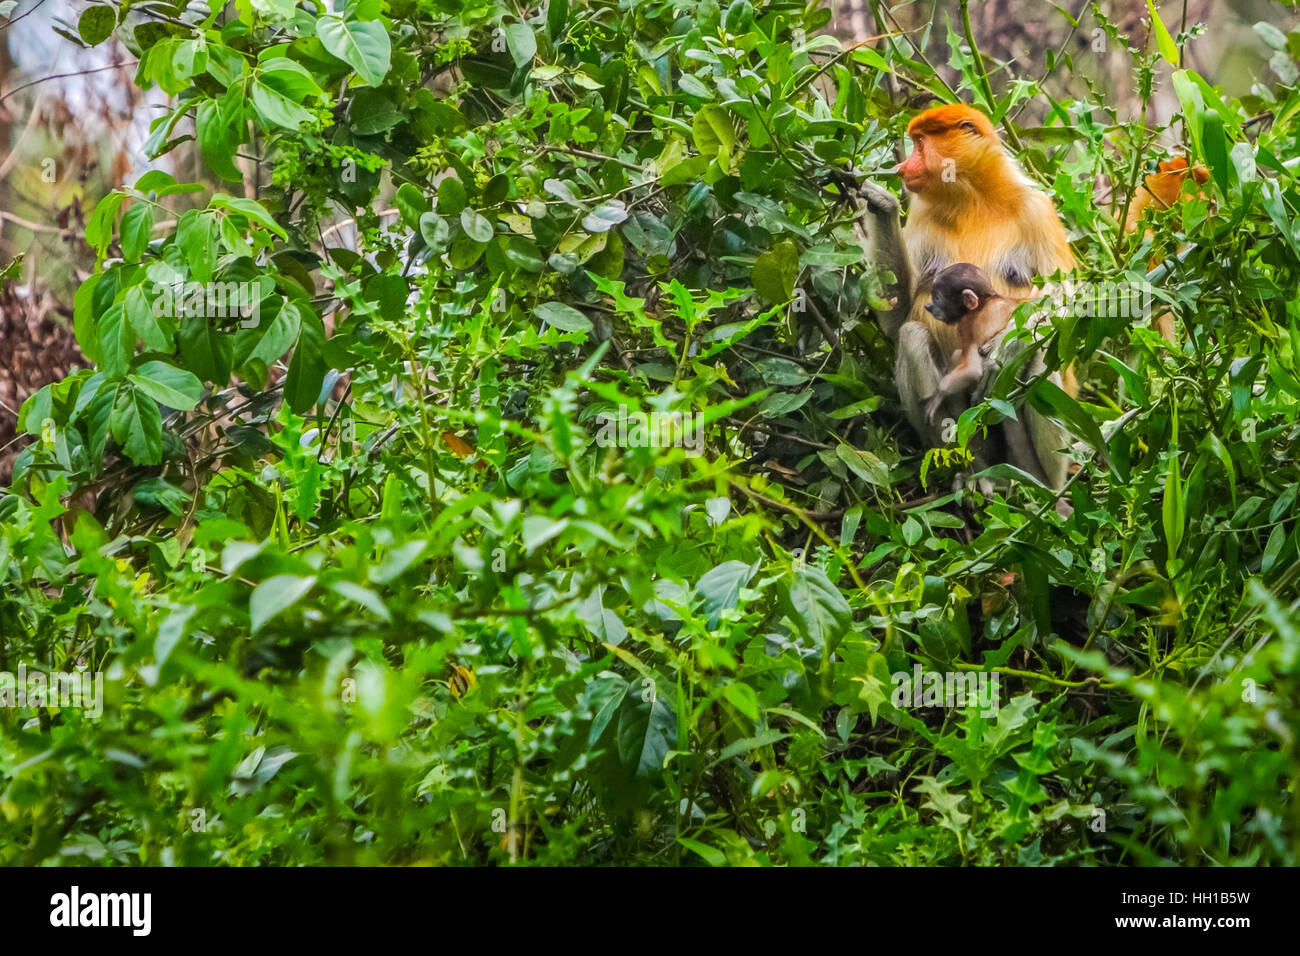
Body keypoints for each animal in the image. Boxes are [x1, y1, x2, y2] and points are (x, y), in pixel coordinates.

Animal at [855, 104, 1075, 489]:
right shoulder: (922, 215)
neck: (972, 199)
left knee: (1038, 359)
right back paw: (972, 471)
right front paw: (882, 204)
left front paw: (1007, 348)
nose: (903, 167)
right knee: (912, 336)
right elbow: (899, 315)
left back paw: (1040, 486)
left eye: (920, 143)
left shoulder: (1038, 208)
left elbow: (1072, 298)